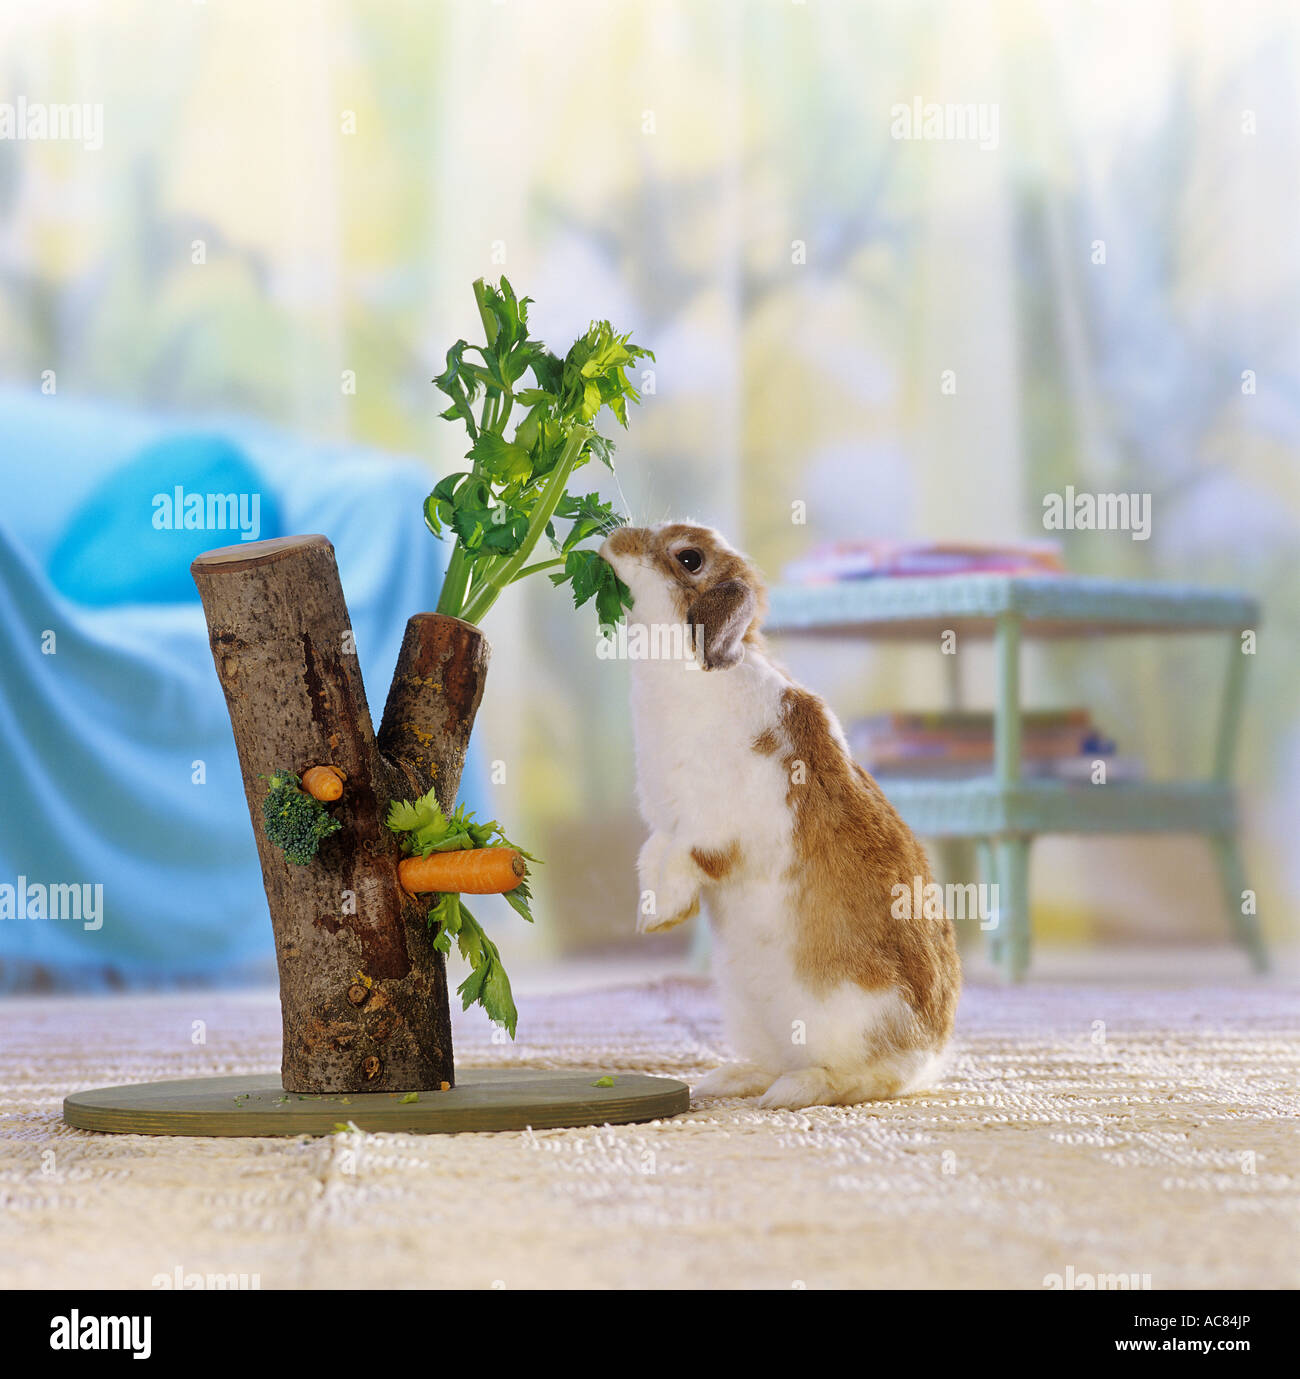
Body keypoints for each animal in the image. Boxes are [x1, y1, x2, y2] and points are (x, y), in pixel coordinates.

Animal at [599, 522, 961, 1109]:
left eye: (689, 558)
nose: (615, 540)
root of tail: (931, 1056)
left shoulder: (718, 826)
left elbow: (687, 857)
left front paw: (664, 914)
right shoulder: (663, 824)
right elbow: (652, 856)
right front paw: (653, 918)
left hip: (850, 1018)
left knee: (866, 1078)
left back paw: (791, 1093)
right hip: (749, 1013)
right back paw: (732, 1080)